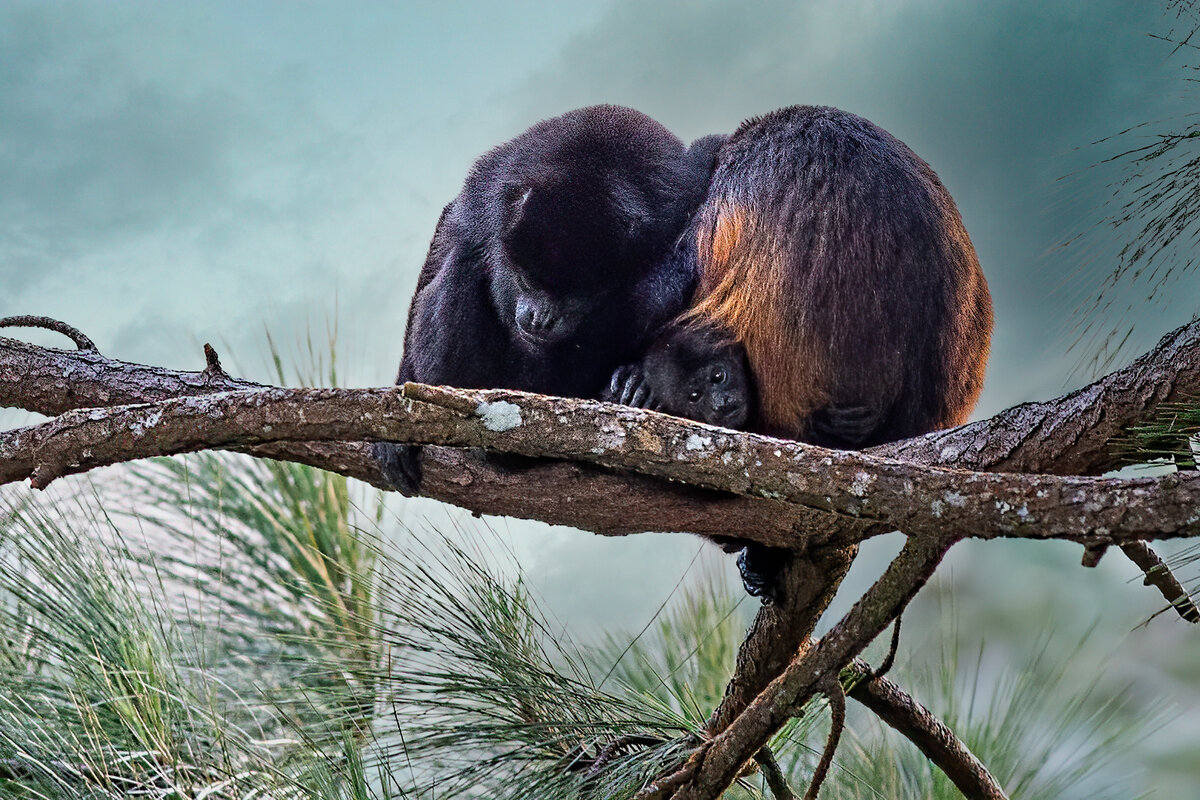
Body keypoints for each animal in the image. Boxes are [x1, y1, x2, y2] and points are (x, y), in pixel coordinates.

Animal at [373, 106, 722, 493]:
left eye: (577, 297)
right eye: (527, 279)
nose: (539, 318)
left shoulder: (683, 198)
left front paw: (641, 381)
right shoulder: (487, 189)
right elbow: (448, 242)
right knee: (463, 259)